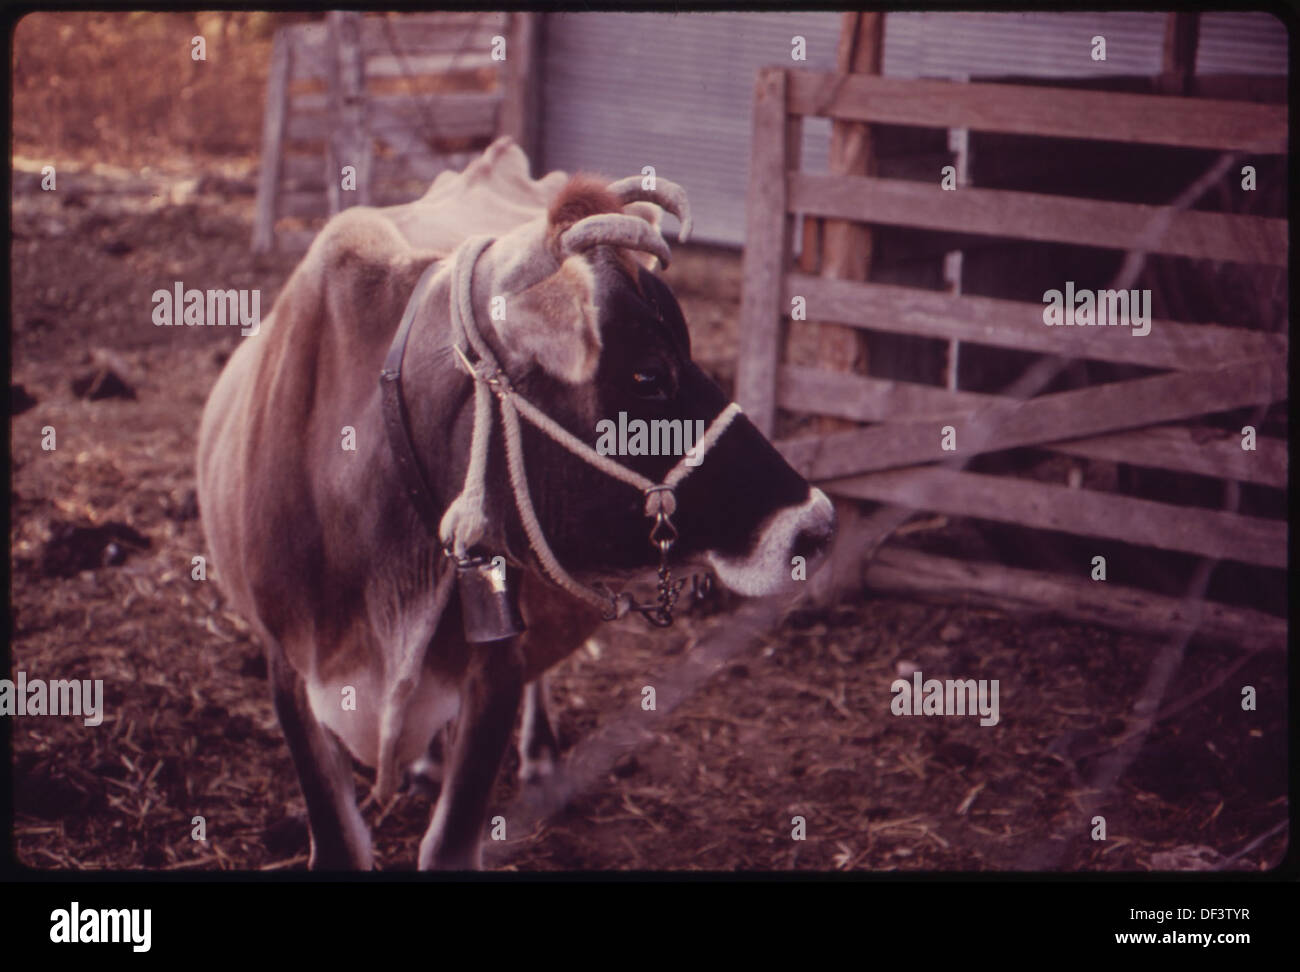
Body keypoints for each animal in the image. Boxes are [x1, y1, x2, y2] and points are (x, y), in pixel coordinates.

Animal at [197, 137, 835, 870]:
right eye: (648, 374)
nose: (815, 525)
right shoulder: (285, 667)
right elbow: (339, 843)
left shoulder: (496, 666)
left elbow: (452, 841)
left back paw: (539, 757)